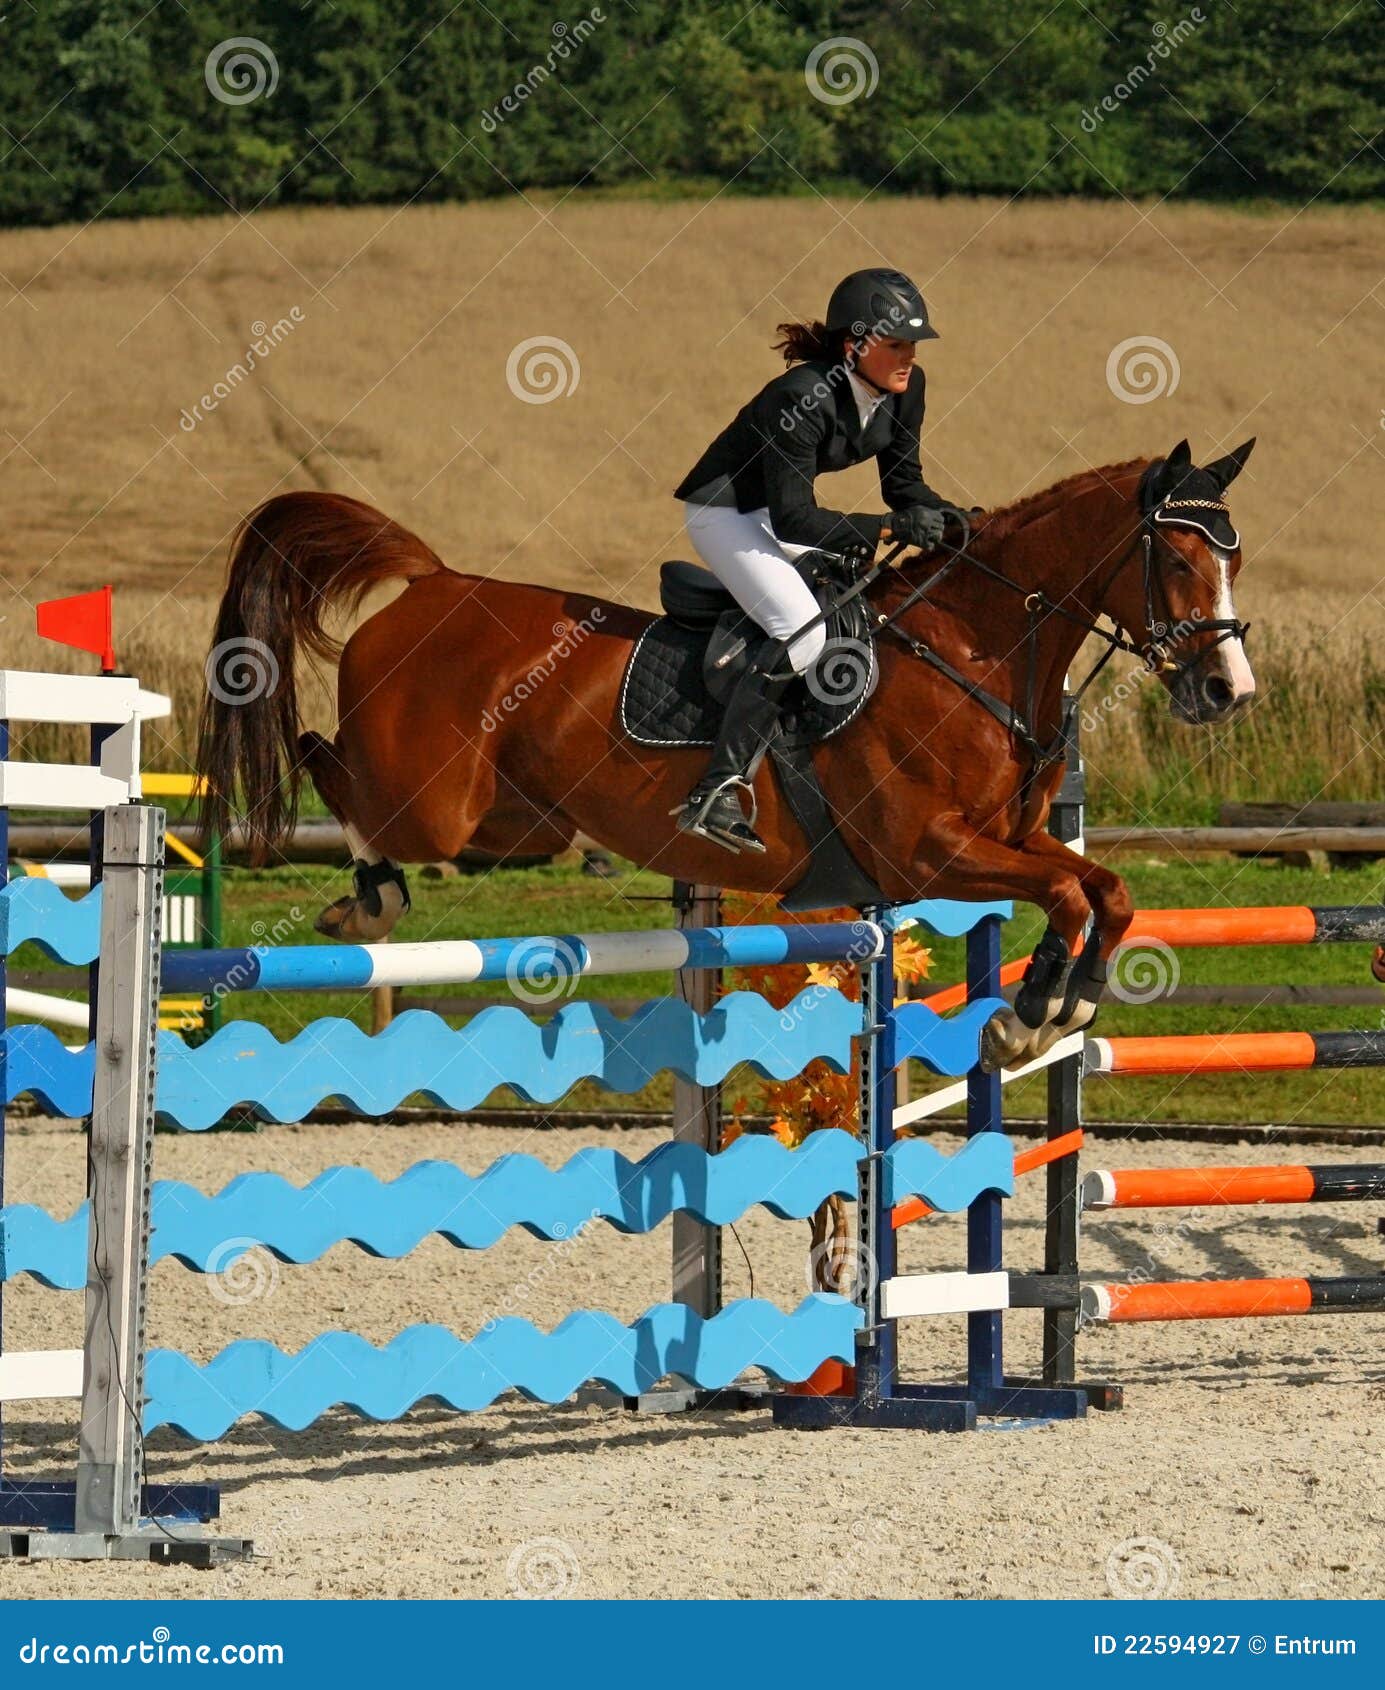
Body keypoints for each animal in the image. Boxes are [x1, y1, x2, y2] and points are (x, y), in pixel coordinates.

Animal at [197, 436, 1257, 1070]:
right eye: (1174, 559)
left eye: (1232, 557)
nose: (1226, 691)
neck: (971, 649)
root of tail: (433, 581)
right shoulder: (928, 853)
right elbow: (1072, 894)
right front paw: (1028, 1015)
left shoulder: (1007, 839)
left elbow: (1104, 889)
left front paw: (1057, 1010)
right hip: (432, 802)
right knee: (322, 759)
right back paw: (365, 899)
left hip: (519, 824)